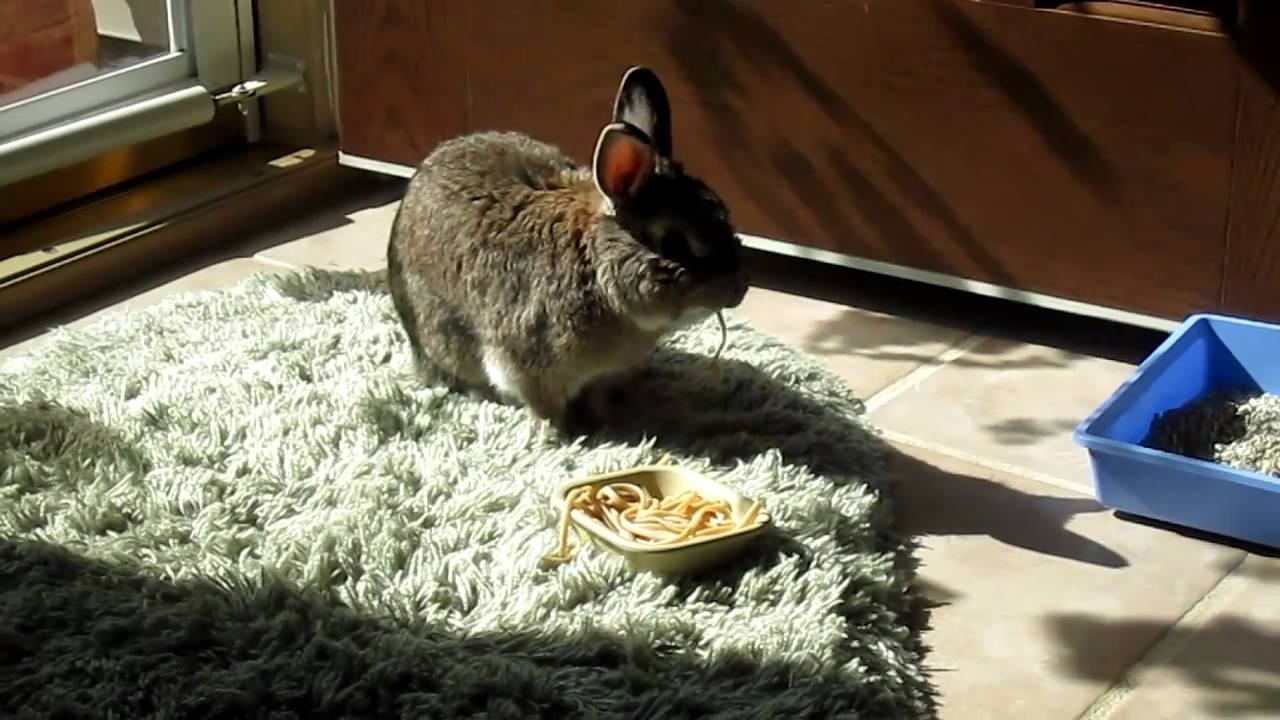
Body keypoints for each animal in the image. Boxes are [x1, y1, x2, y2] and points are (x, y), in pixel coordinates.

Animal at [386, 66, 749, 436]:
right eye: (676, 242)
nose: (738, 291)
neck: (593, 267)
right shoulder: (527, 366)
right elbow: (543, 407)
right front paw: (557, 436)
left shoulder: (601, 374)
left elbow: (597, 394)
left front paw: (603, 424)